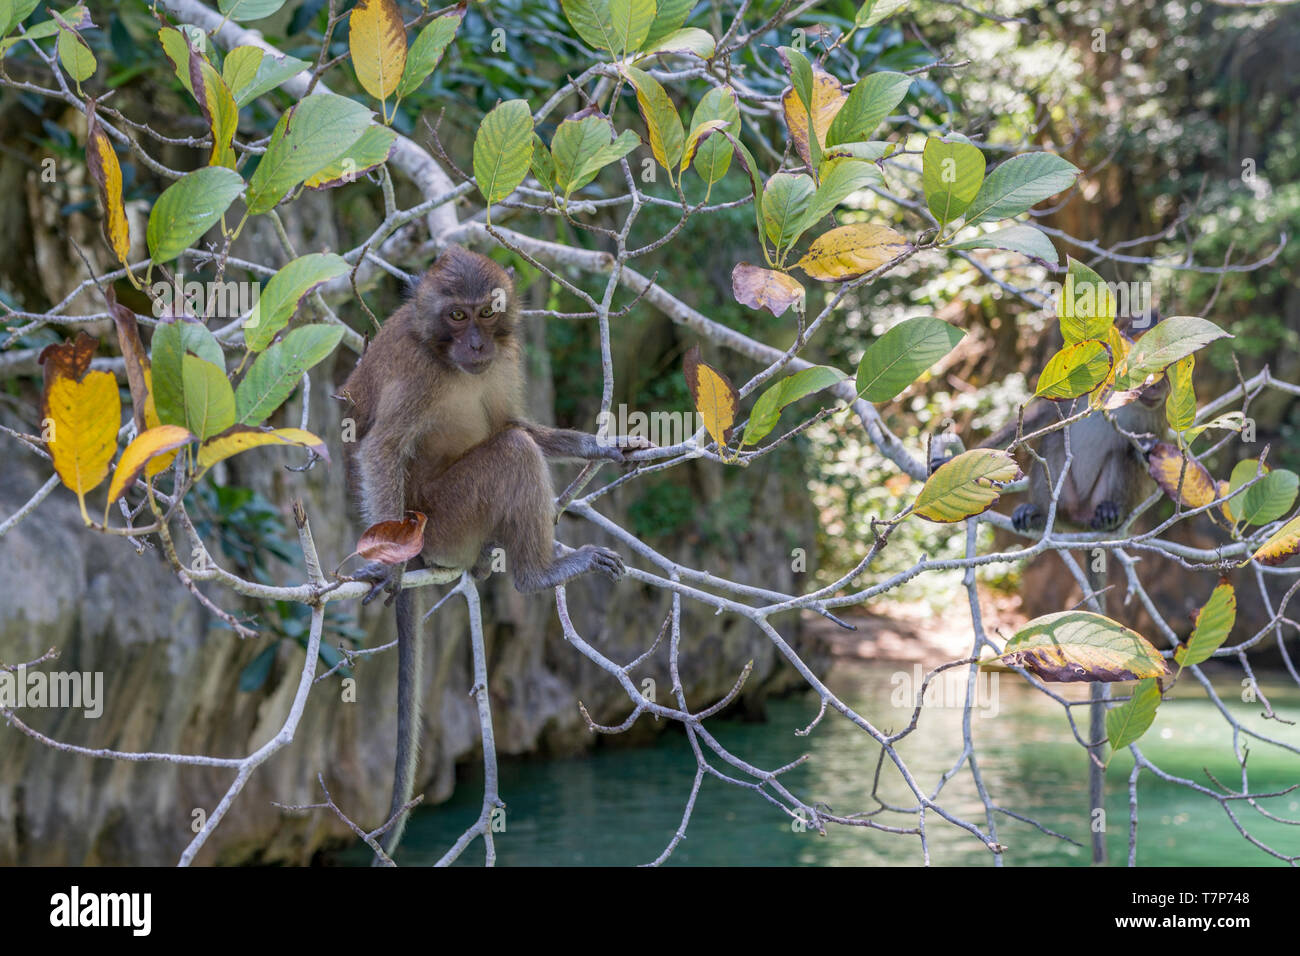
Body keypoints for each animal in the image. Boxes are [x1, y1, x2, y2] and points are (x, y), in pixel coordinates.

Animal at [337, 244, 651, 858]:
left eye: (486, 314)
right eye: (457, 316)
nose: (478, 345)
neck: (446, 357)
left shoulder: (508, 357)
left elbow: (512, 419)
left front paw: (600, 446)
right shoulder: (417, 373)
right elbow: (383, 448)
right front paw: (384, 571)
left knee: (513, 437)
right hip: (442, 521)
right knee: (511, 452)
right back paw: (534, 573)